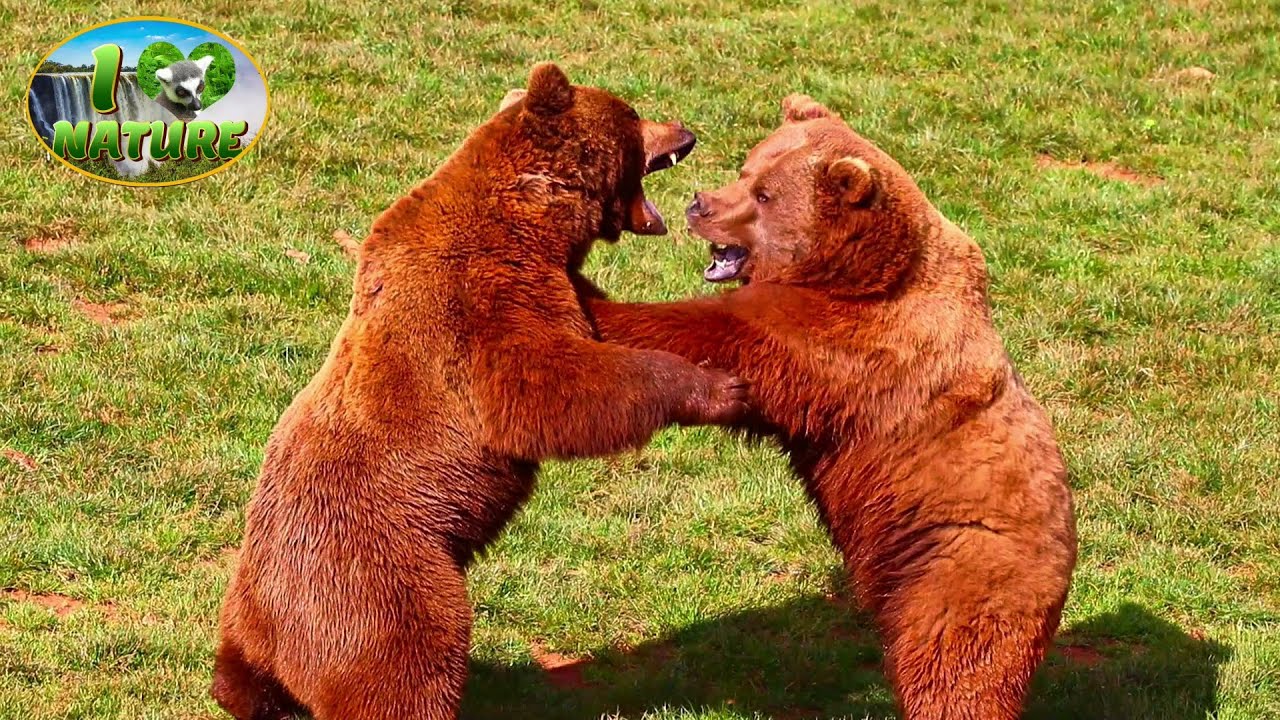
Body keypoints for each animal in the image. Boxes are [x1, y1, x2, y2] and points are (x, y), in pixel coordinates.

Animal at [209, 63, 749, 720]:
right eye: (632, 113)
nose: (686, 131)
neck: (536, 222)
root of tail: (269, 646)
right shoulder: (478, 298)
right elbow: (547, 388)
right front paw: (718, 386)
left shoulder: (555, 282)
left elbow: (607, 322)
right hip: (381, 582)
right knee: (411, 663)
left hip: (257, 614)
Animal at [588, 94, 1077, 720]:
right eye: (747, 168)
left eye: (765, 195)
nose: (700, 203)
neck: (858, 273)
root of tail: (1066, 565)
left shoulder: (857, 348)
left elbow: (718, 330)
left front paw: (596, 305)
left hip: (961, 574)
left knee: (954, 671)